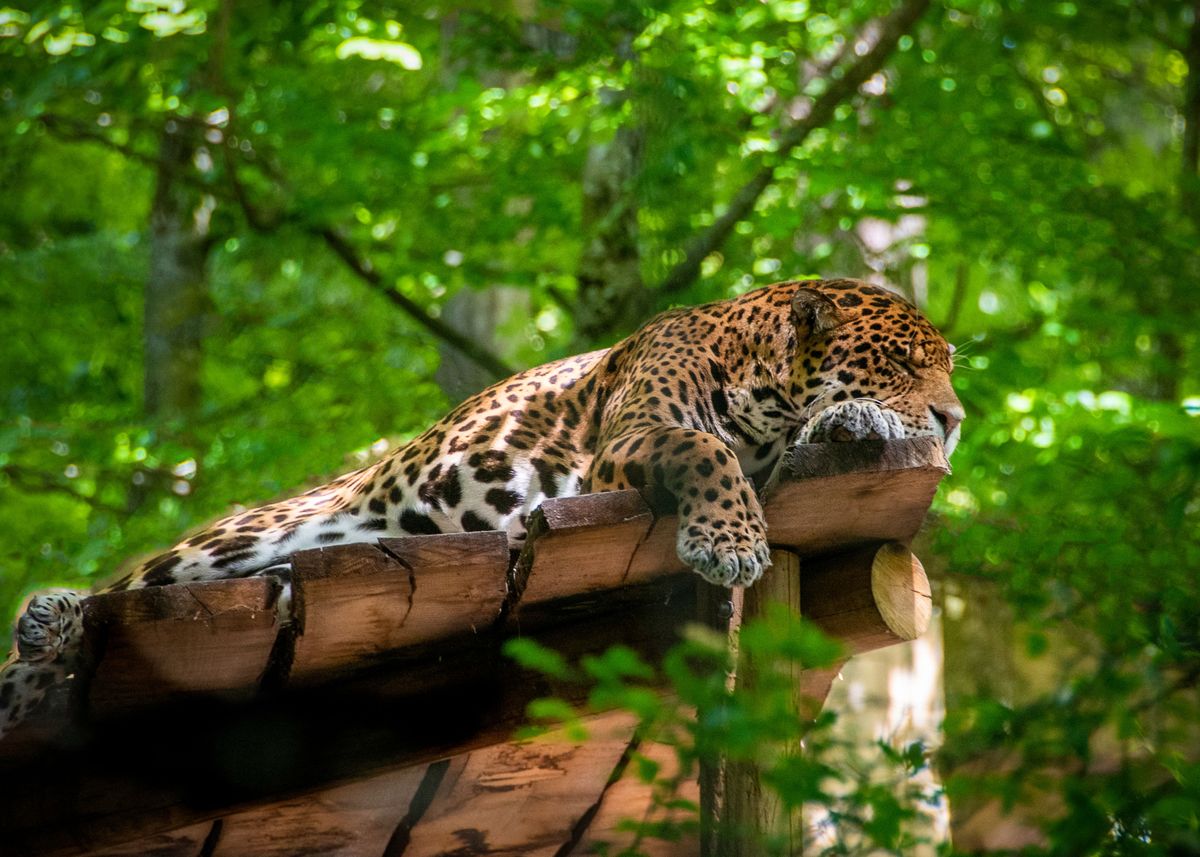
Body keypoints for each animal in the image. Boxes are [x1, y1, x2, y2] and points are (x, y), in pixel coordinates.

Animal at [0, 278, 963, 737]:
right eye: (901, 362)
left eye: (942, 369)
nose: (954, 417)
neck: (758, 379)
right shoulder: (633, 435)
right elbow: (708, 449)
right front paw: (730, 541)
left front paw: (861, 423)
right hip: (229, 545)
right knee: (128, 591)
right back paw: (49, 619)